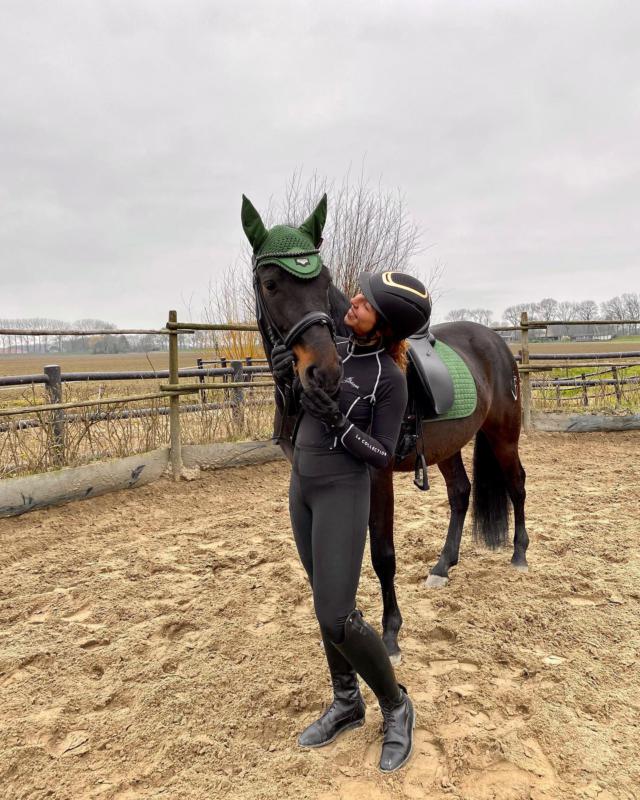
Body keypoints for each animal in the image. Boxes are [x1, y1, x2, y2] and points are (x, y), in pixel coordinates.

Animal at [242, 194, 528, 663]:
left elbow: (381, 552)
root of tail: (495, 342)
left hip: (504, 434)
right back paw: (443, 566)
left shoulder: (376, 474)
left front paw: (390, 634)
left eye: (323, 279)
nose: (325, 372)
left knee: (516, 484)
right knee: (461, 493)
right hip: (448, 446)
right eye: (270, 284)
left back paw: (520, 554)